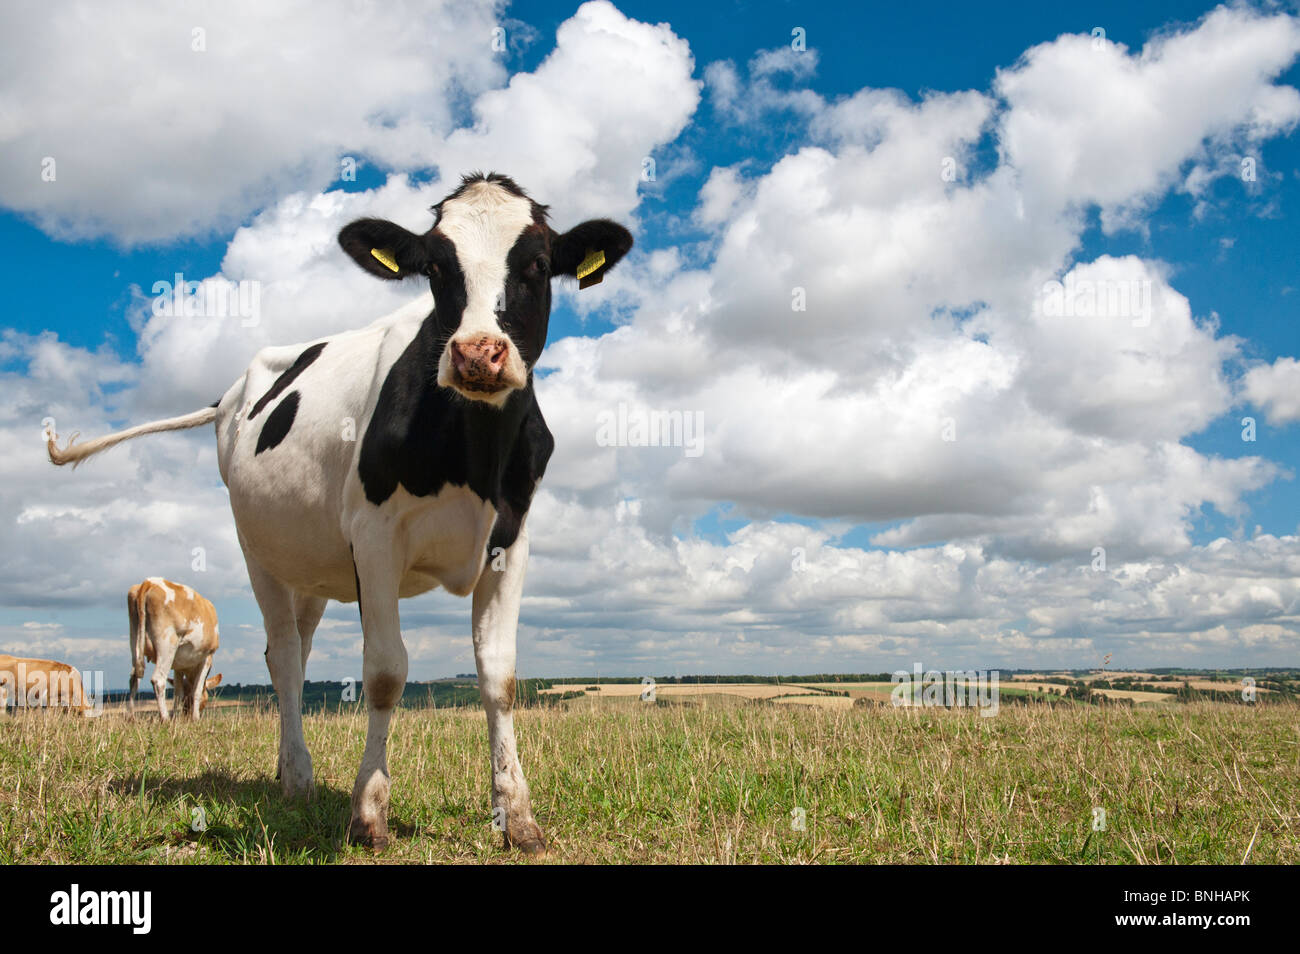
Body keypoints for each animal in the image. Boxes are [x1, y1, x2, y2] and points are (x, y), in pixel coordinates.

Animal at [128, 577, 221, 721]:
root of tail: (150, 582)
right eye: (205, 701)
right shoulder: (208, 657)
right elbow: (197, 690)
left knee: (134, 679)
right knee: (158, 679)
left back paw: (131, 718)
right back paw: (164, 718)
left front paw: (175, 717)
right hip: (167, 644)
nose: (186, 715)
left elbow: (178, 693)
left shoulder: (178, 666)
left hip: (135, 642)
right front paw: (195, 718)